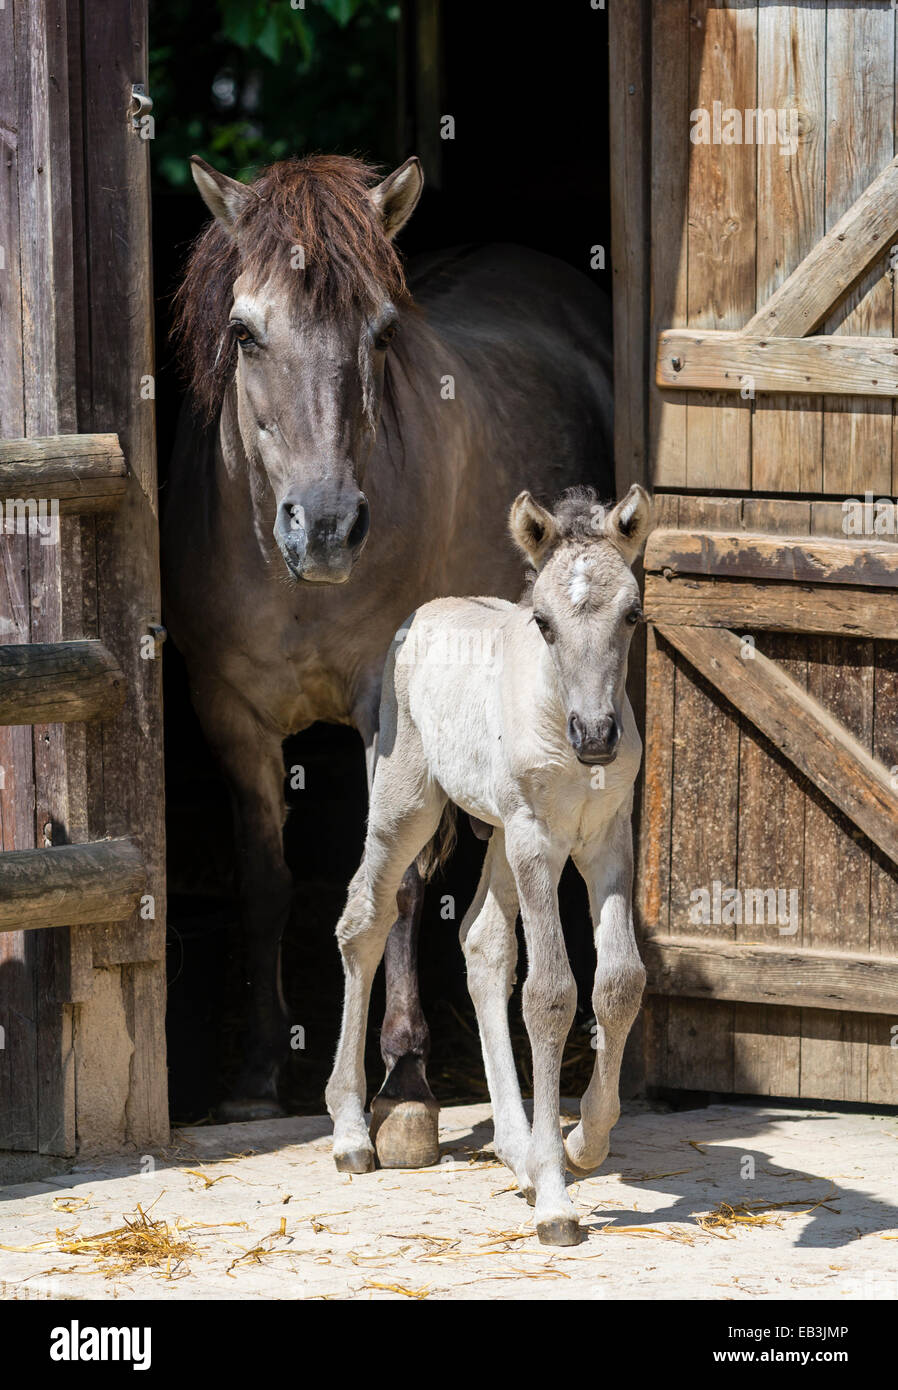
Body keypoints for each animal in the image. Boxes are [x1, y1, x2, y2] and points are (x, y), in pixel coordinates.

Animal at [162, 151, 614, 1163]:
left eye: (378, 335)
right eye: (244, 333)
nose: (327, 526)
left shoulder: (388, 713)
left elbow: (399, 887)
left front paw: (405, 1087)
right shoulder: (230, 715)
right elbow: (266, 880)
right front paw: (257, 1076)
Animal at [326, 484, 651, 1244]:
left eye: (632, 614)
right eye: (544, 623)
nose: (596, 736)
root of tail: (424, 611)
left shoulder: (607, 841)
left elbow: (619, 982)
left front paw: (580, 1142)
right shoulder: (537, 842)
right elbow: (552, 994)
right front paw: (559, 1200)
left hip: (498, 837)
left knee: (482, 942)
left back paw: (517, 1148)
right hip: (407, 806)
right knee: (364, 921)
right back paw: (352, 1132)